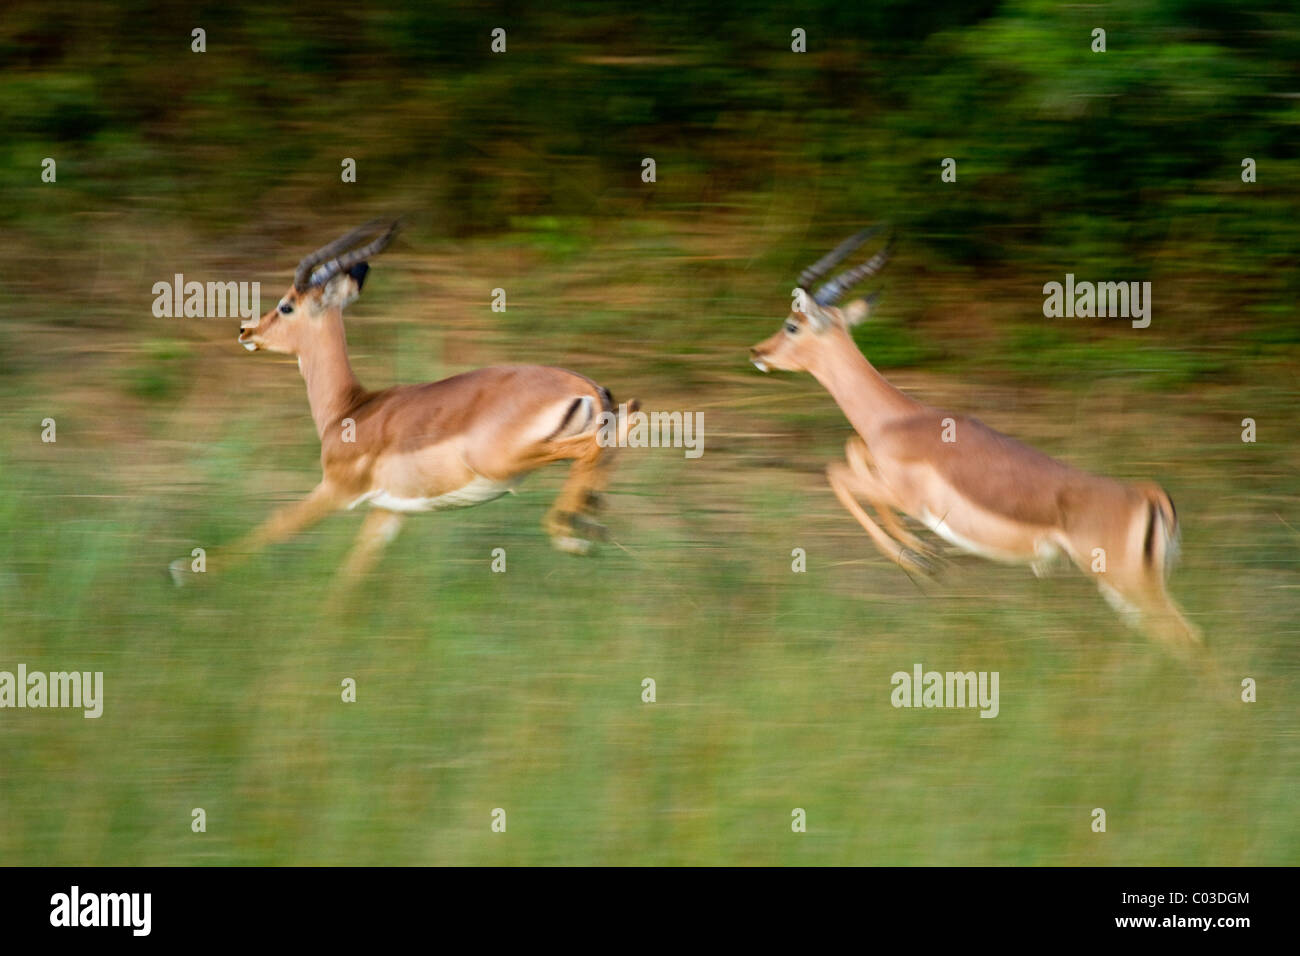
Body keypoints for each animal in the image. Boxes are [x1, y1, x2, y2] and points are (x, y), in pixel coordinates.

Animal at [172, 220, 636, 584]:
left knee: (592, 447)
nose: (246, 330)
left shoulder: (336, 490)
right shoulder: (388, 510)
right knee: (623, 429)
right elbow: (352, 575)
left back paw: (570, 536)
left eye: (287, 305)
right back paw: (591, 526)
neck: (349, 410)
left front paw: (185, 571)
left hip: (505, 461)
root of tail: (585, 386)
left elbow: (277, 525)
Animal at [749, 229, 1200, 651]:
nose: (757, 351)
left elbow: (835, 473)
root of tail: (1148, 495)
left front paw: (919, 560)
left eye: (792, 324)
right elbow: (850, 453)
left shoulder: (905, 494)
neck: (897, 420)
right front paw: (924, 552)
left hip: (1131, 585)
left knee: (1190, 640)